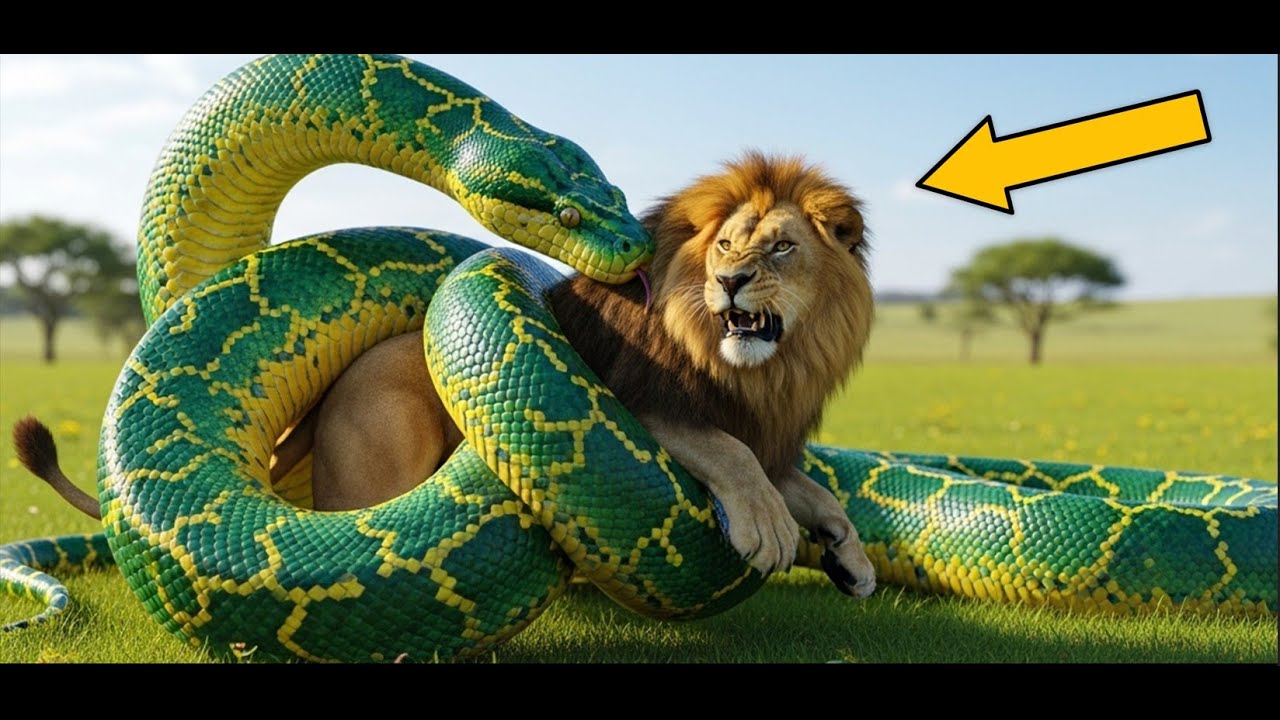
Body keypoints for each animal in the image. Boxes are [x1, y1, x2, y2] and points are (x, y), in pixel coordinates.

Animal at [16, 153, 877, 597]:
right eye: (727, 244)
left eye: (781, 247)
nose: (730, 283)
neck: (767, 368)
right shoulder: (641, 398)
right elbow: (731, 455)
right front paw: (770, 528)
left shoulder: (770, 424)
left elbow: (805, 480)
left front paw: (847, 550)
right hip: (379, 453)